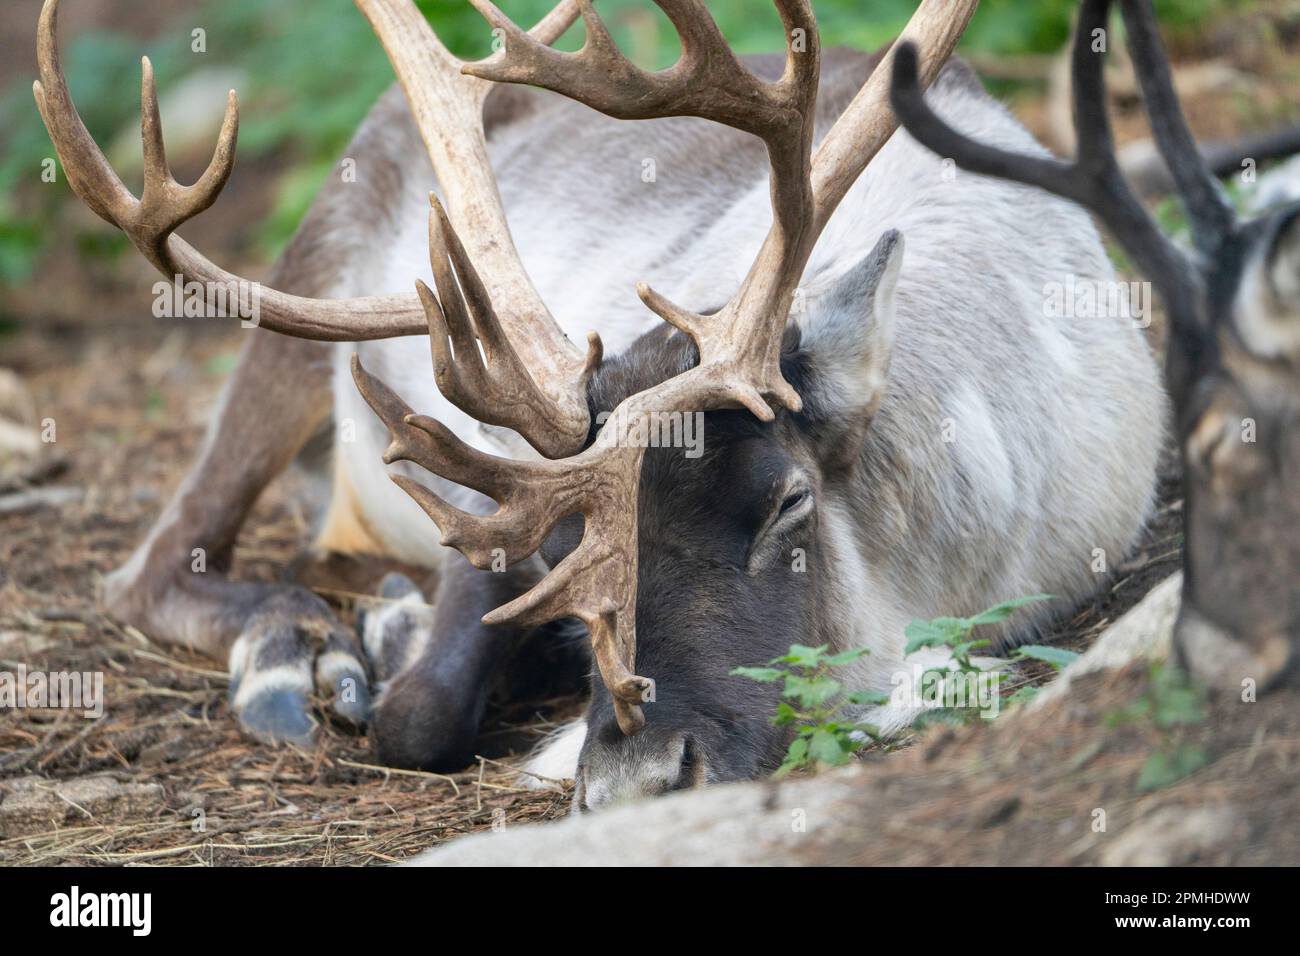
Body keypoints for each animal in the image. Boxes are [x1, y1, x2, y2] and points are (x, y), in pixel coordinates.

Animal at [35, 0, 1167, 809]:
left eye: (789, 503)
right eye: (566, 545)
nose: (638, 777)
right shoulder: (499, 498)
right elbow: (419, 714)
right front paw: (403, 656)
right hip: (302, 285)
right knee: (154, 562)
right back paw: (297, 654)